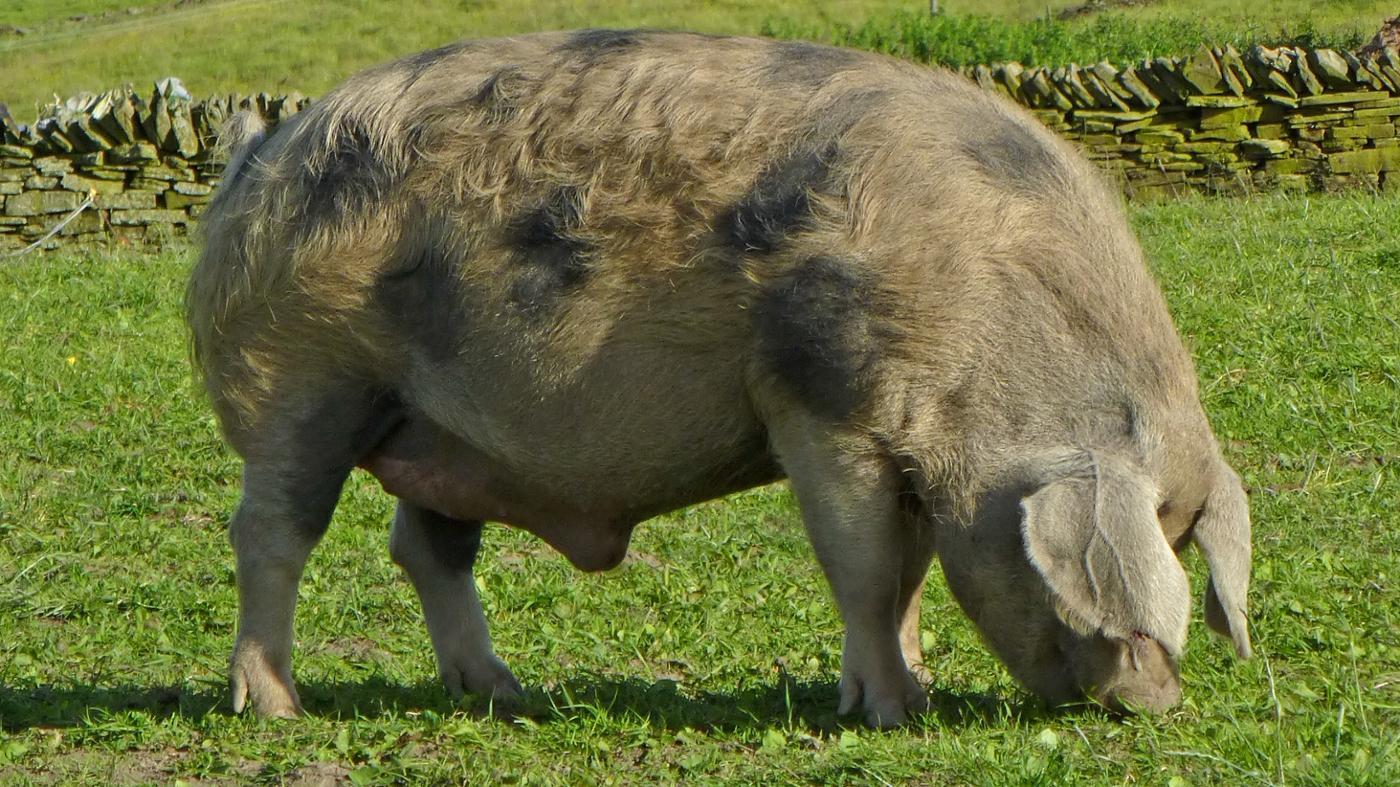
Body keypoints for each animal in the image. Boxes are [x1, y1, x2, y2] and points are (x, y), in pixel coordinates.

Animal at [186, 29, 1253, 728]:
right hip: (304, 382)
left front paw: (910, 689)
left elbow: (910, 574)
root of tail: (257, 159)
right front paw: (892, 713)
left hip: (441, 425)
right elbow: (867, 568)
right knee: (270, 532)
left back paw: (506, 693)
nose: (1159, 702)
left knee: (425, 546)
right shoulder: (820, 405)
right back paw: (274, 709)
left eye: (1178, 534)